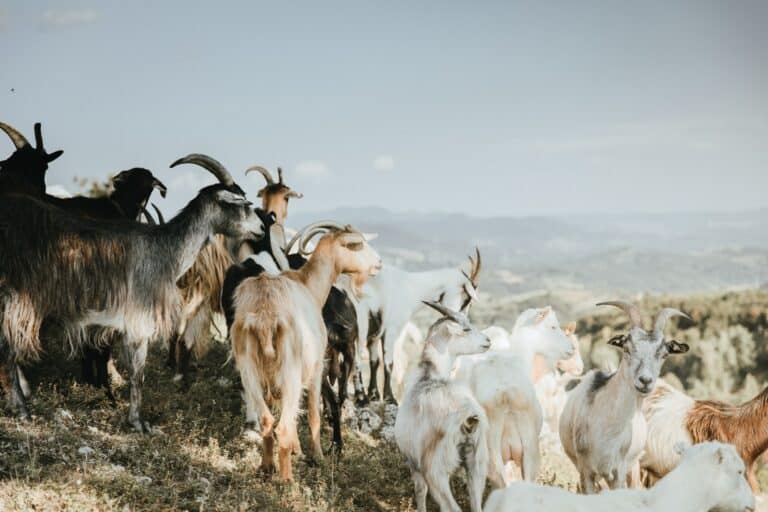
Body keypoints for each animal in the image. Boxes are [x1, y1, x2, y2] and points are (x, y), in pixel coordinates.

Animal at [0, 154, 263, 432]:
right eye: (243, 202)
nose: (261, 228)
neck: (164, 250)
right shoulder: (139, 319)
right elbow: (138, 373)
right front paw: (138, 422)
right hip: (17, 296)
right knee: (7, 349)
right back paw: (22, 409)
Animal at [230, 222, 381, 481]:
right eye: (358, 244)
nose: (378, 262)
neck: (308, 285)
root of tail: (264, 315)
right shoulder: (316, 366)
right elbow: (313, 414)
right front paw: (316, 455)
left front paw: (296, 450)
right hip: (289, 368)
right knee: (282, 425)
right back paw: (287, 479)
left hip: (250, 371)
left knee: (267, 420)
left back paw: (267, 467)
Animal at [357, 249, 481, 404]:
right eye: (467, 298)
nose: (460, 320)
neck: (410, 286)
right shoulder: (391, 329)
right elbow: (388, 362)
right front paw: (390, 398)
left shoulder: (375, 335)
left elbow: (375, 362)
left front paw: (374, 395)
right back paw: (361, 397)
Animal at [395, 301, 490, 512]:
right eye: (466, 328)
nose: (488, 341)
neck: (429, 376)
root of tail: (468, 419)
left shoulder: (413, 461)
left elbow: (420, 490)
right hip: (477, 465)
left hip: (436, 470)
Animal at [559, 301, 691, 493]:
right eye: (627, 349)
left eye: (664, 354)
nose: (645, 381)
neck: (608, 427)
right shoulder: (586, 471)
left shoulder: (619, 471)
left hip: (634, 466)